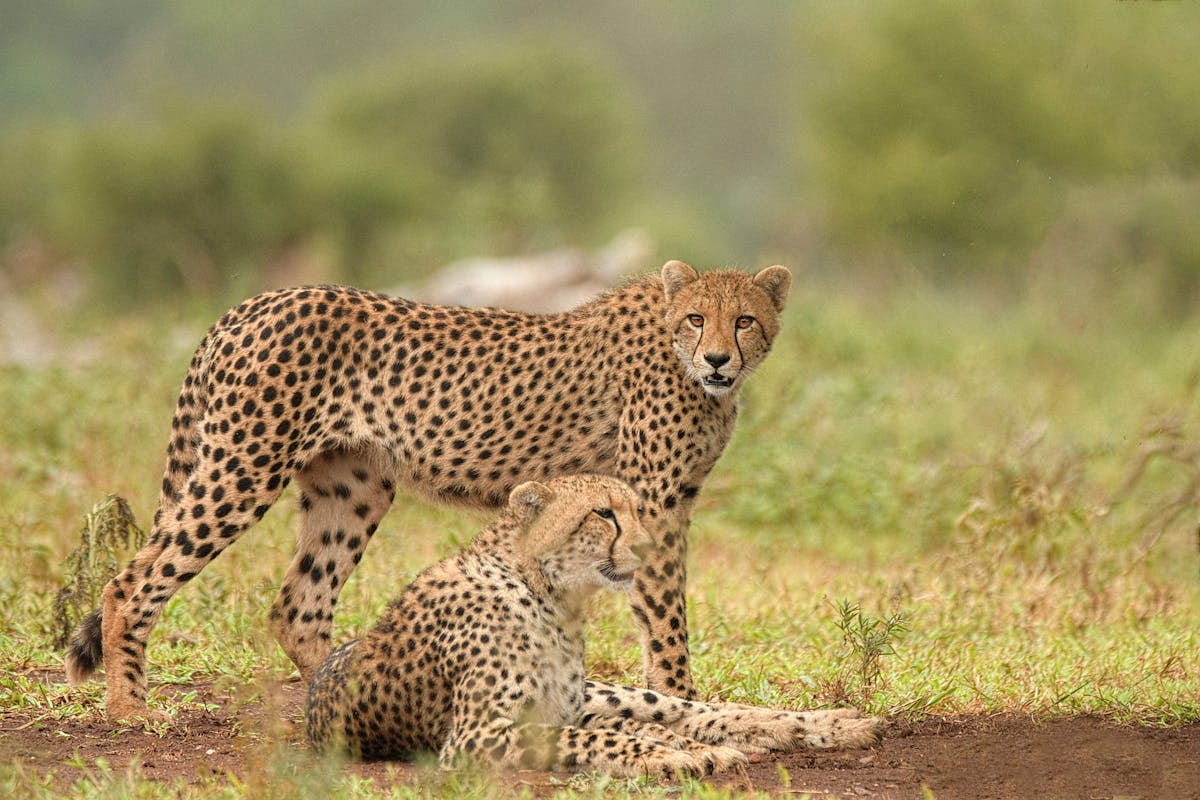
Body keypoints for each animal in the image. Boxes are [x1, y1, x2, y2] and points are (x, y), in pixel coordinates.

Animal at [65, 260, 792, 722]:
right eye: (697, 318)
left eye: (745, 321)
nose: (718, 358)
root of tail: (255, 301)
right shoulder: (655, 503)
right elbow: (666, 618)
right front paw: (683, 697)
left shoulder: (670, 502)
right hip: (244, 467)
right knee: (131, 581)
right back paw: (128, 710)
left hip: (353, 487)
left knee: (299, 605)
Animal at [304, 473, 884, 776]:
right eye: (603, 513)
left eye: (637, 510)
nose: (648, 547)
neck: (552, 596)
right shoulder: (475, 736)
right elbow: (600, 739)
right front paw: (675, 757)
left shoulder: (557, 708)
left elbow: (617, 732)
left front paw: (682, 752)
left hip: (604, 691)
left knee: (692, 709)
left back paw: (833, 724)